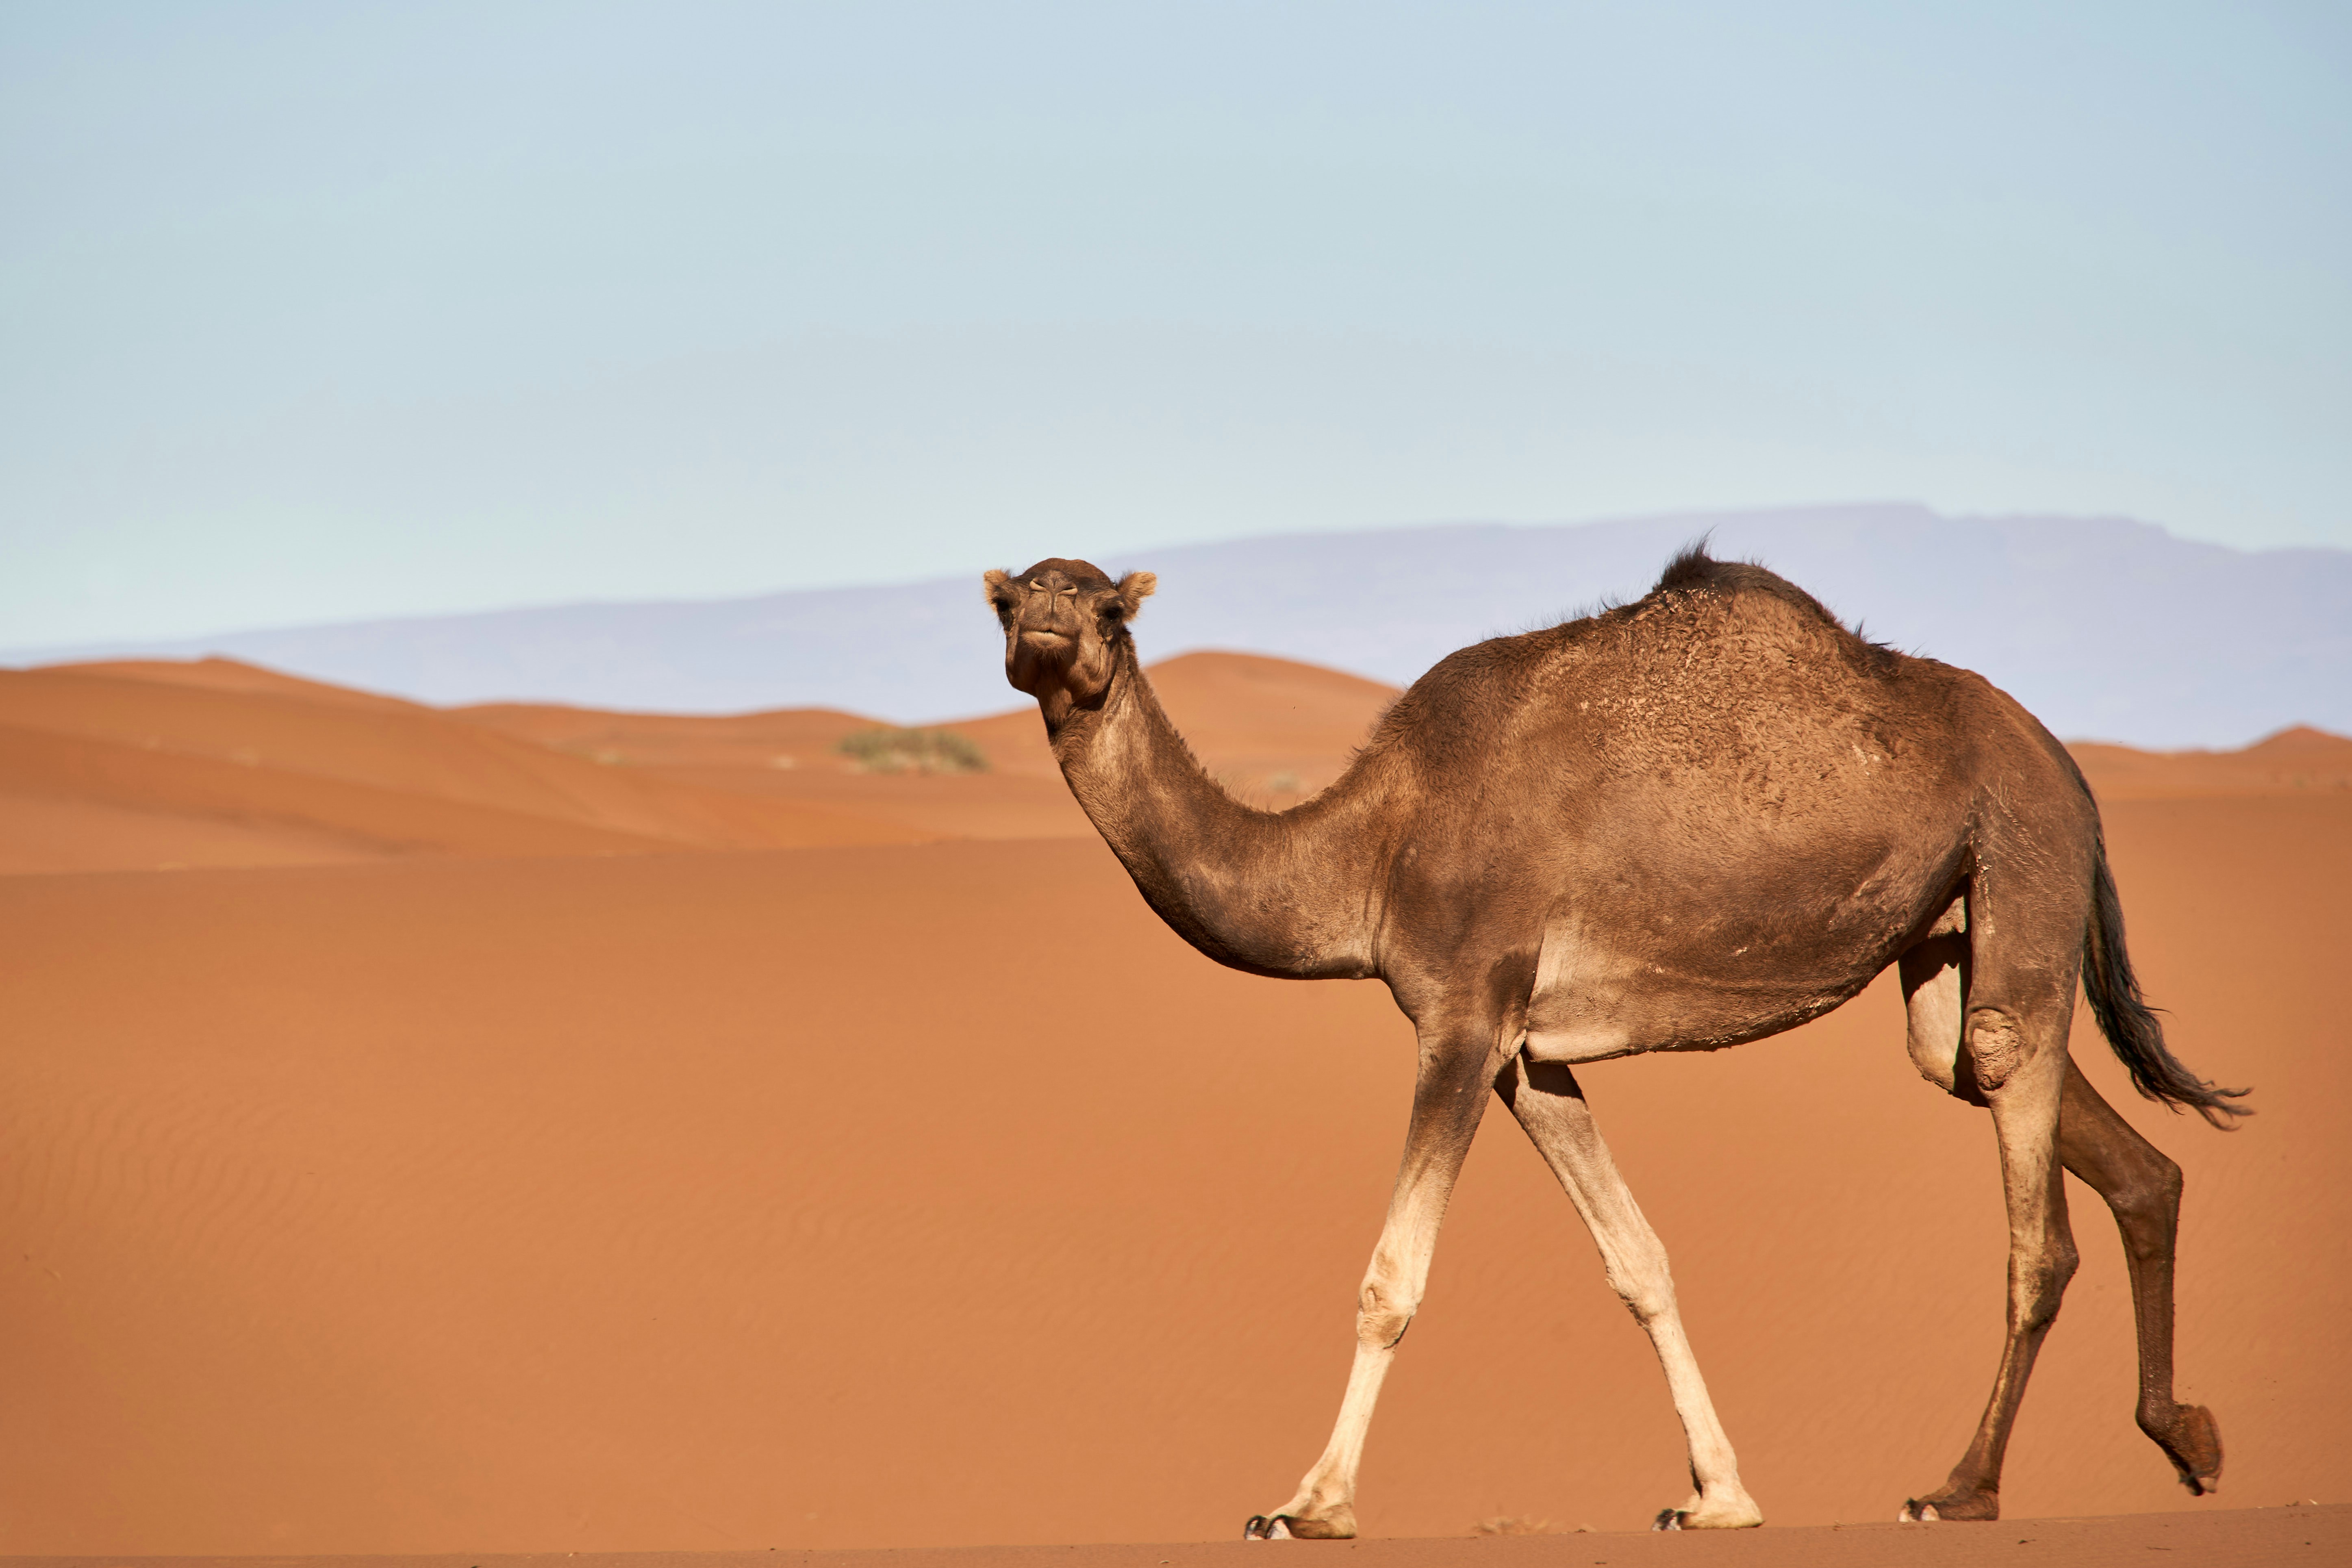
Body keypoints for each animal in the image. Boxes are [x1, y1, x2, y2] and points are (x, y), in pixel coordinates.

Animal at [982, 545, 2245, 1535]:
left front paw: (1309, 1504)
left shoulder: (1463, 1012)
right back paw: (2187, 1437)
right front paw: (1718, 1496)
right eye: (1008, 600)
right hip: (1944, 930)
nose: (1043, 610)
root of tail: (2063, 758)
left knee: (2030, 1207)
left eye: (1109, 608)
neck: (1371, 848)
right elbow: (1638, 1261)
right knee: (2044, 1106)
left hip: (2021, 844)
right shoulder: (1526, 1053)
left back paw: (1960, 1489)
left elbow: (1392, 1275)